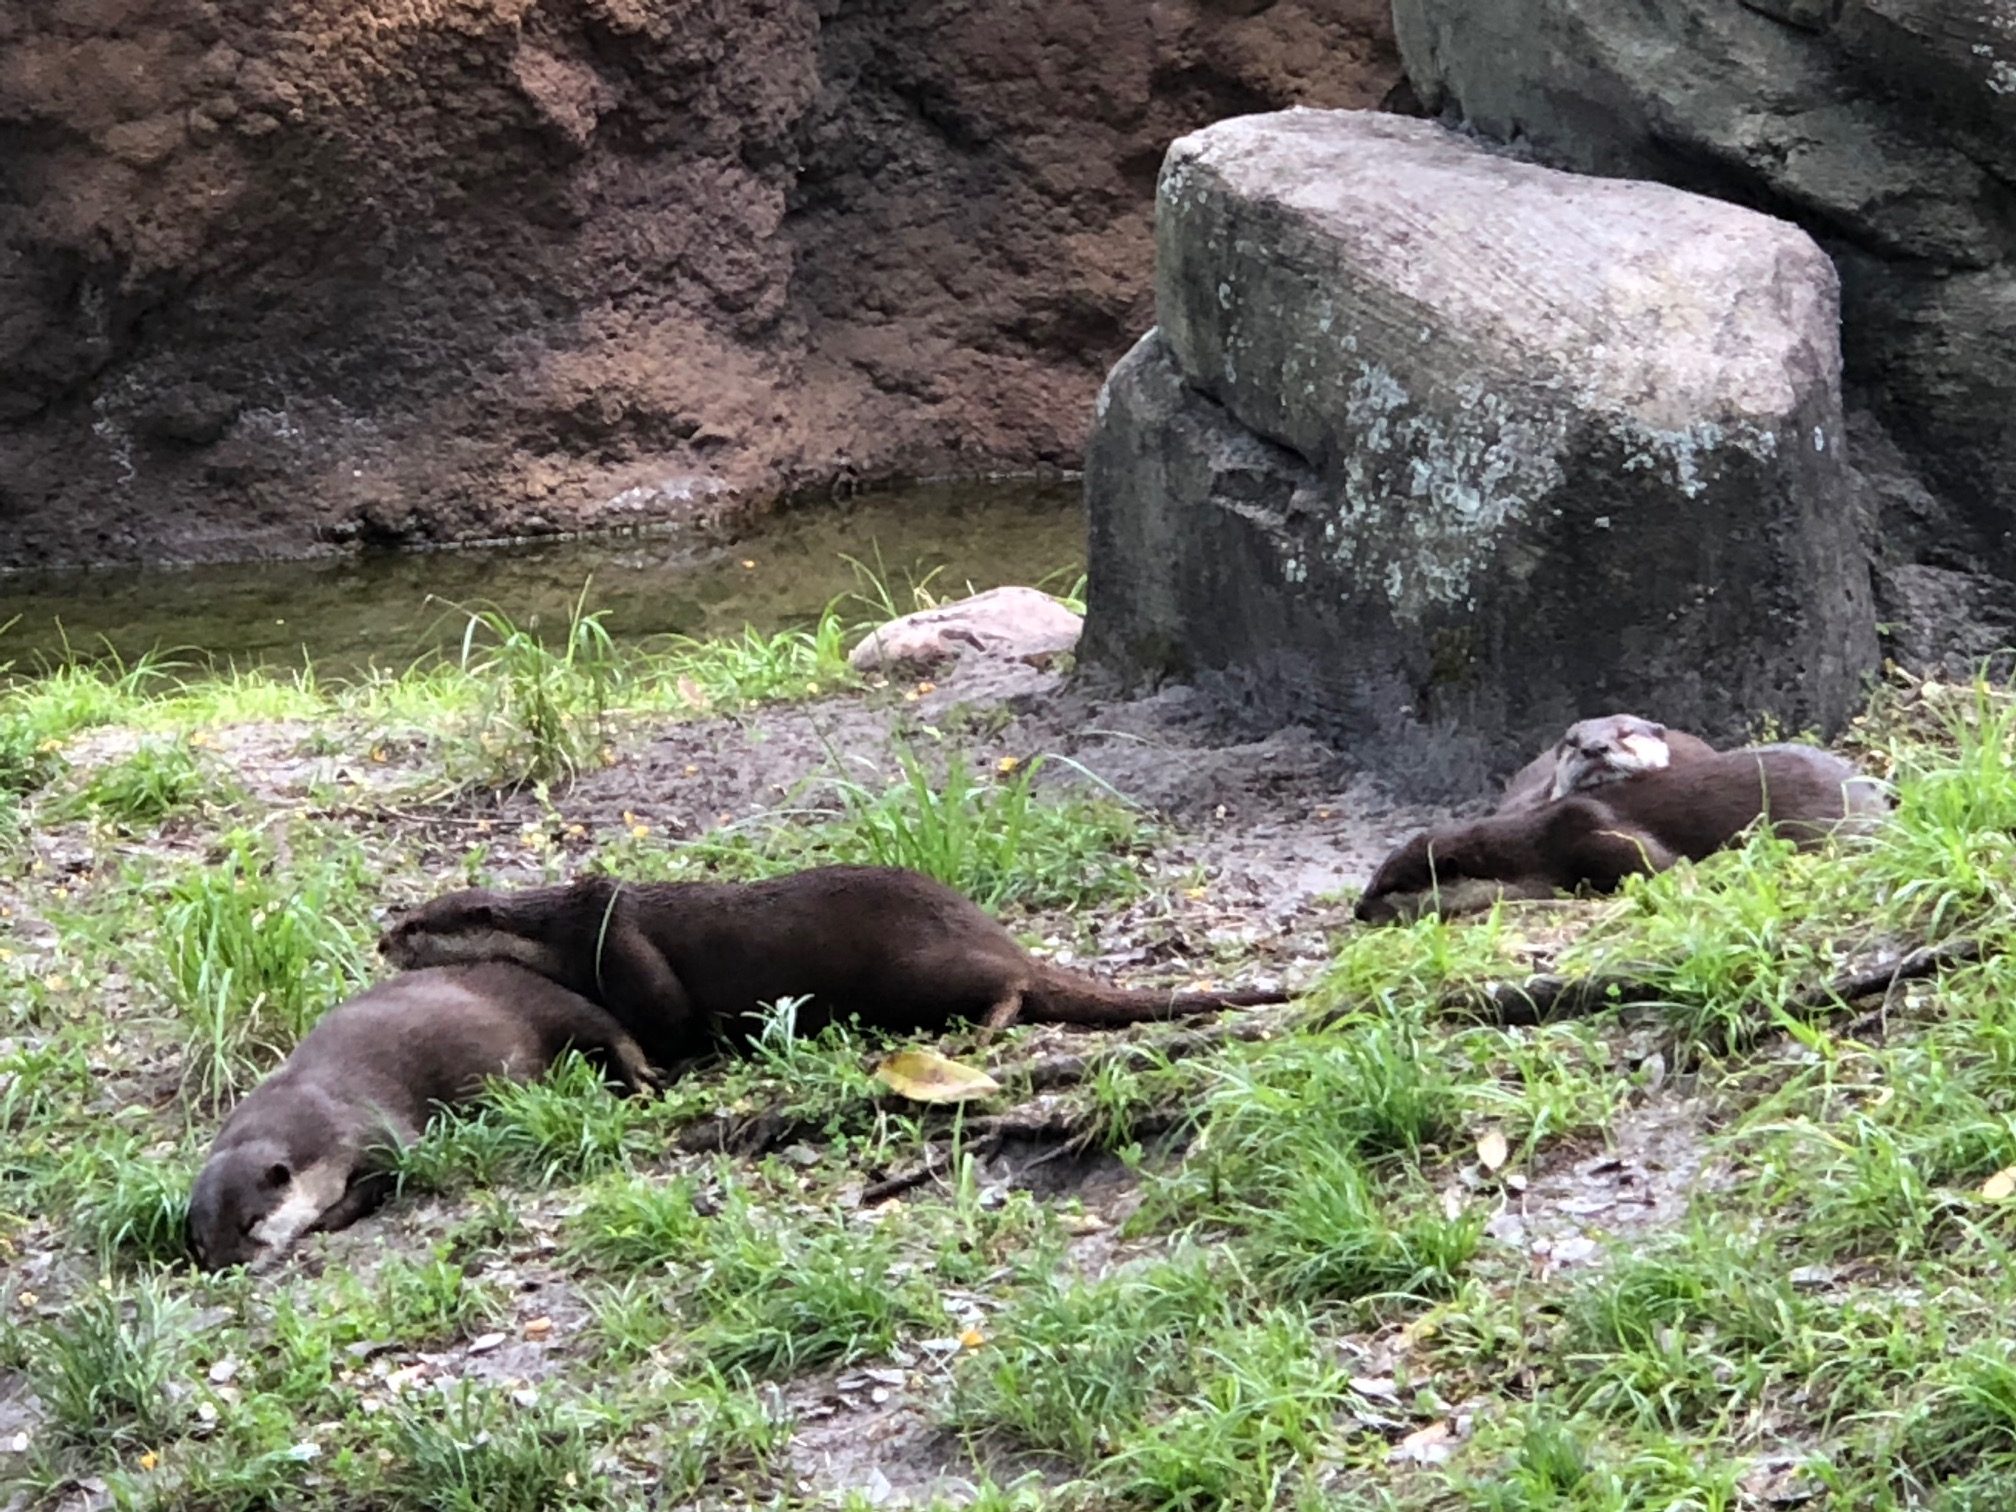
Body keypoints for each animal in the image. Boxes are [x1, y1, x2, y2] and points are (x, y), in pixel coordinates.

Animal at [188, 963, 654, 1272]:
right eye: (202, 1240)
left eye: (251, 1223)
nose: (227, 1265)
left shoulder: (371, 1129)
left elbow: (392, 1173)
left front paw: (327, 1218)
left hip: (549, 1005)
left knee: (605, 1027)